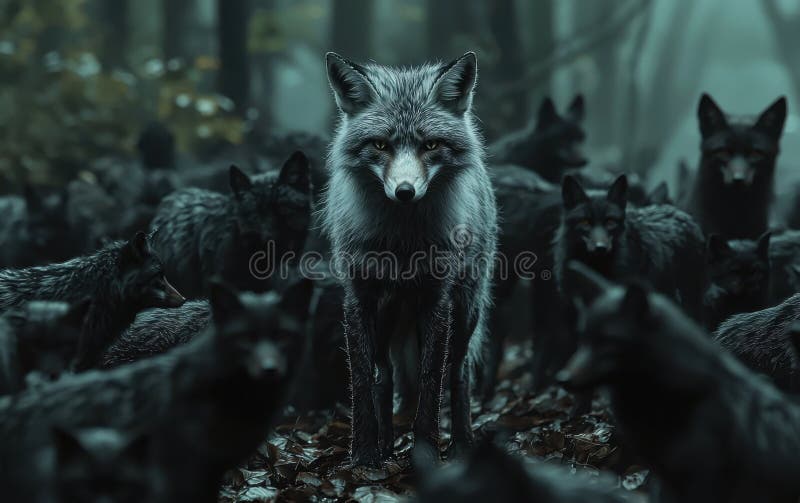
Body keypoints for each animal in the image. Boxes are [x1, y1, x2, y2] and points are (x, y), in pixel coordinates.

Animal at [322, 51, 497, 466]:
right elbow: (362, 381)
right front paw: (364, 453)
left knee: (460, 373)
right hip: (388, 317)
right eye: (380, 145)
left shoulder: (436, 299)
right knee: (385, 377)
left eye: (430, 144)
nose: (404, 191)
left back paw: (462, 442)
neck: (401, 244)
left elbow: (432, 383)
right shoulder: (360, 296)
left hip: (466, 311)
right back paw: (386, 444)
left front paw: (426, 452)